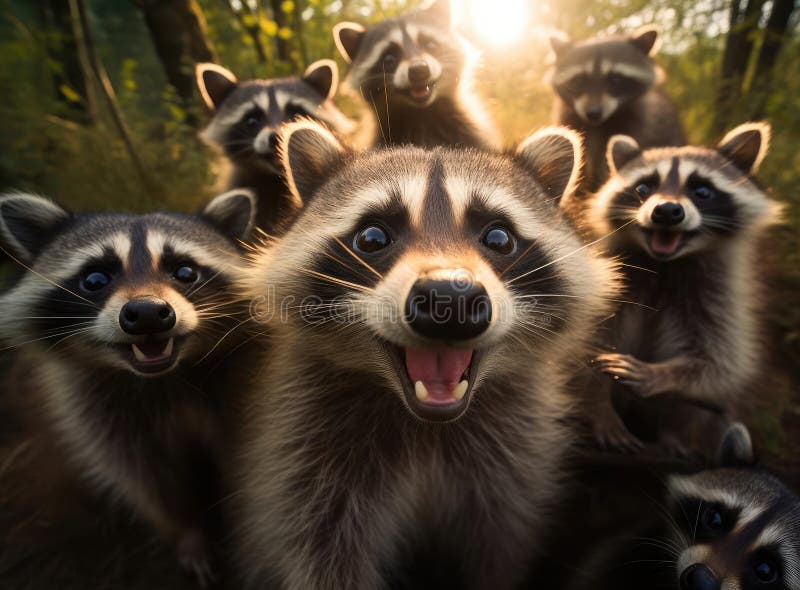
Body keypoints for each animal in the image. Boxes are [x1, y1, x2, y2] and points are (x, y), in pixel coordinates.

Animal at [0, 189, 255, 585]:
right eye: (94, 279)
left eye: (185, 271)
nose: (148, 313)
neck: (160, 377)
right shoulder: (99, 412)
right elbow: (144, 477)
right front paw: (186, 530)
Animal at [231, 119, 618, 589]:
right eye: (373, 237)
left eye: (499, 237)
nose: (450, 296)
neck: (427, 427)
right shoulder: (301, 456)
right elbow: (318, 554)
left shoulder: (515, 458)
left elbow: (503, 547)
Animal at [548, 26, 685, 192]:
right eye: (578, 80)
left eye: (615, 79)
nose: (593, 113)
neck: (599, 124)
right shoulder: (570, 116)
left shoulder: (638, 121)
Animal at [587, 123, 782, 452]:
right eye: (643, 188)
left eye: (702, 191)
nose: (666, 211)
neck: (664, 264)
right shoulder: (612, 279)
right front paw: (600, 410)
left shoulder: (718, 293)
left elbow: (719, 364)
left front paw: (662, 375)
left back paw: (673, 434)